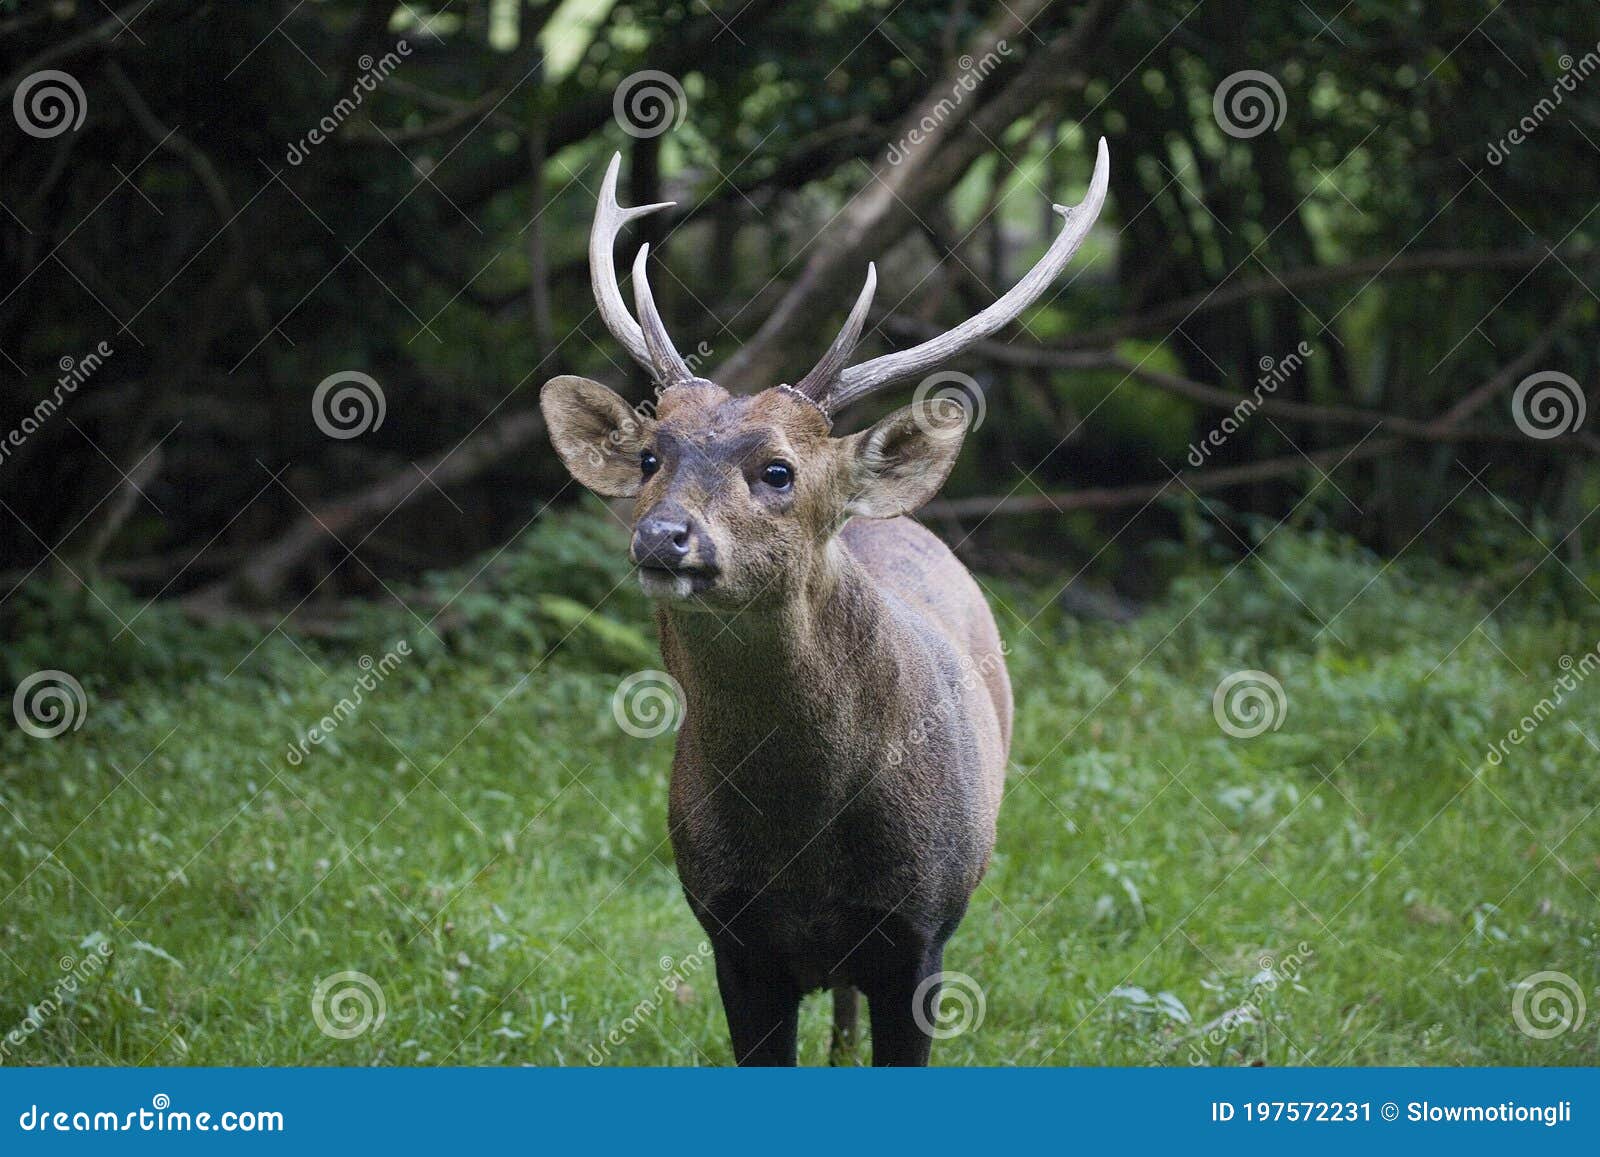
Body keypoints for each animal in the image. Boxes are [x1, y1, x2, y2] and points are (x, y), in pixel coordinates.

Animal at [541, 140, 1109, 1065]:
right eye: (652, 456)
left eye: (778, 469)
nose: (664, 537)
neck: (802, 851)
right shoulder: (728, 932)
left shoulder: (921, 927)